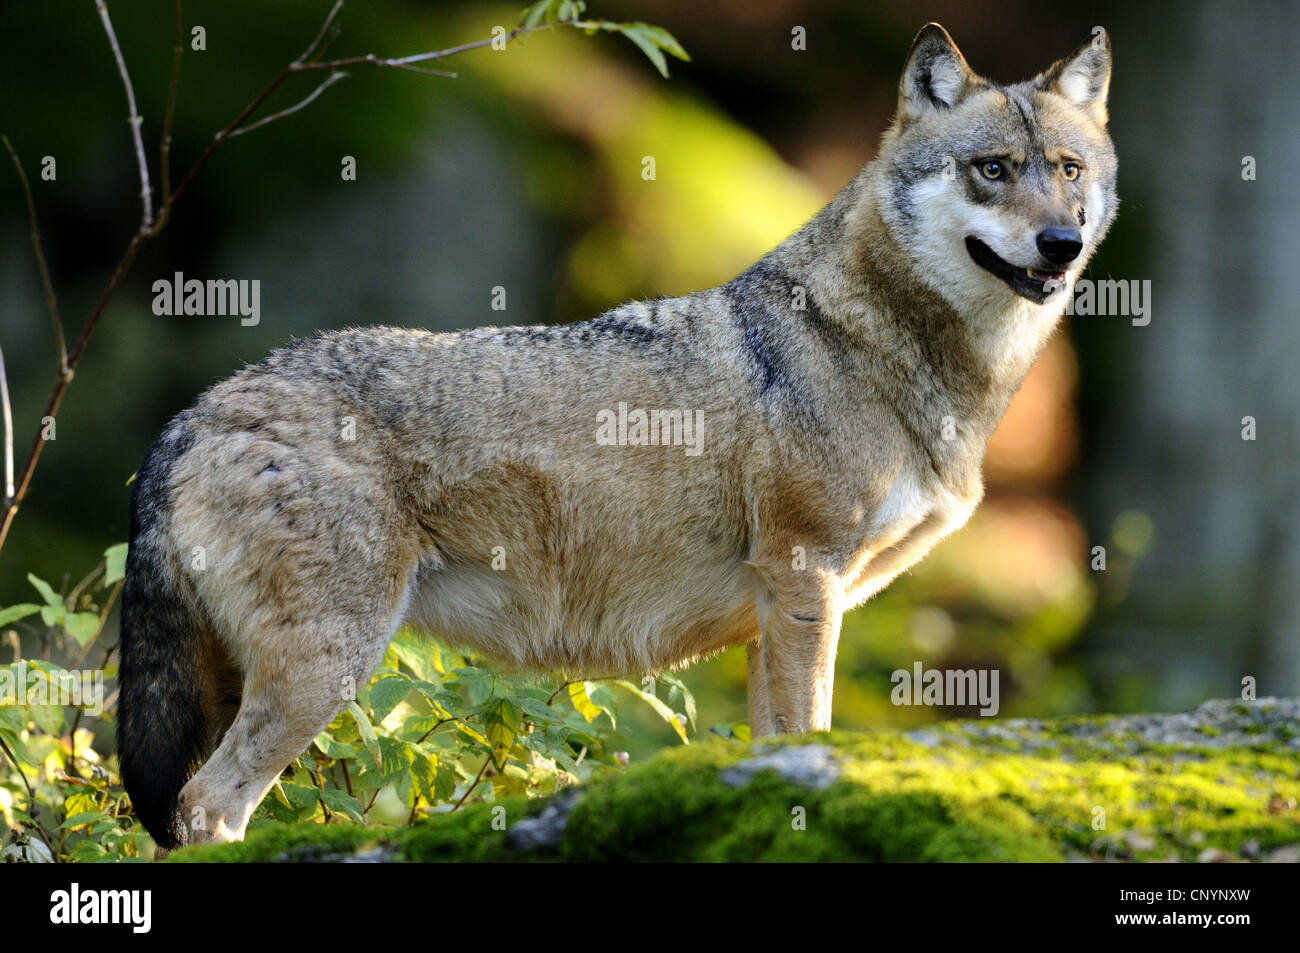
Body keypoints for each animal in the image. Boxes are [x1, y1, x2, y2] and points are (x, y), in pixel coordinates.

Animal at [118, 23, 1116, 848]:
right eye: (992, 168)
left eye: (1067, 169)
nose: (1060, 244)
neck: (890, 351)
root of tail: (196, 412)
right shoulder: (806, 579)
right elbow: (812, 736)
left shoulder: (777, 610)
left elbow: (775, 746)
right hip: (324, 667)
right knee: (207, 804)